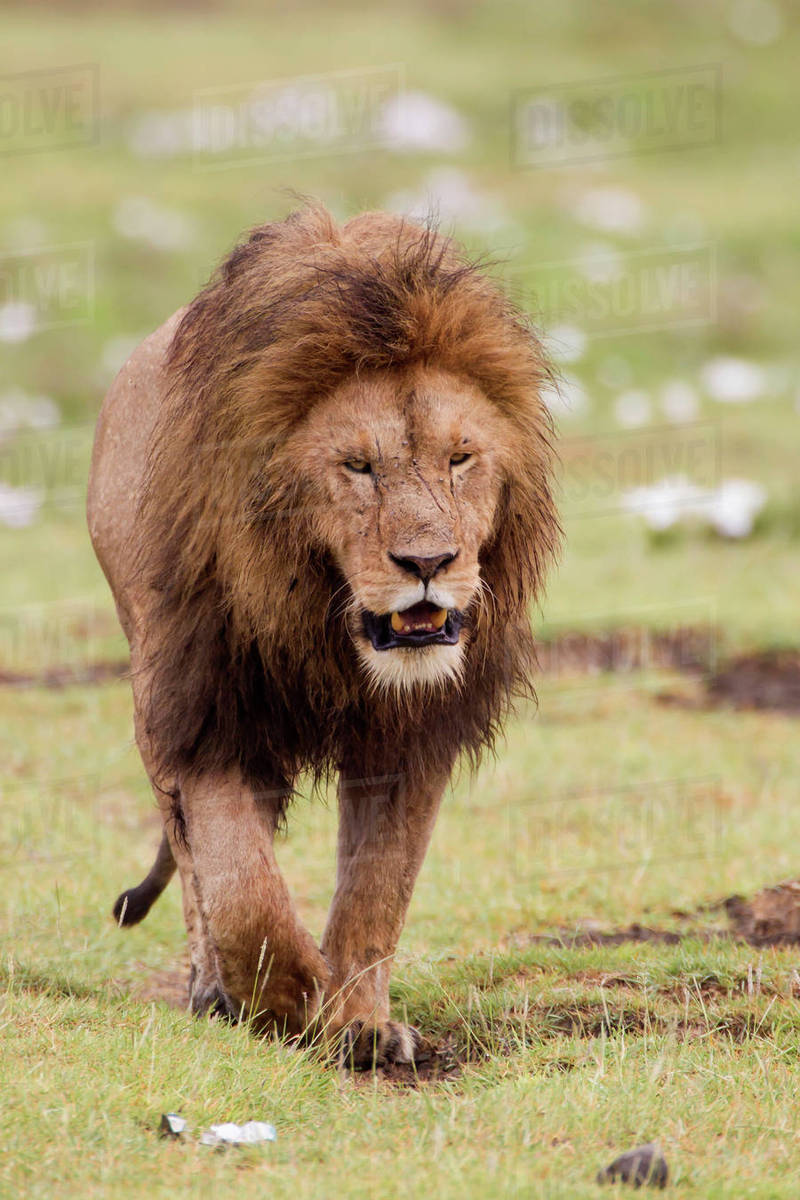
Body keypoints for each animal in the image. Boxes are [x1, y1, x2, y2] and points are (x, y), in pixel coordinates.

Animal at [87, 203, 559, 1066]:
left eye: (461, 457)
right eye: (357, 466)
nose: (428, 562)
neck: (323, 626)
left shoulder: (411, 736)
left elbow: (378, 887)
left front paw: (359, 1022)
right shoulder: (205, 708)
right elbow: (240, 883)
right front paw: (290, 995)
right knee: (195, 866)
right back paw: (213, 989)